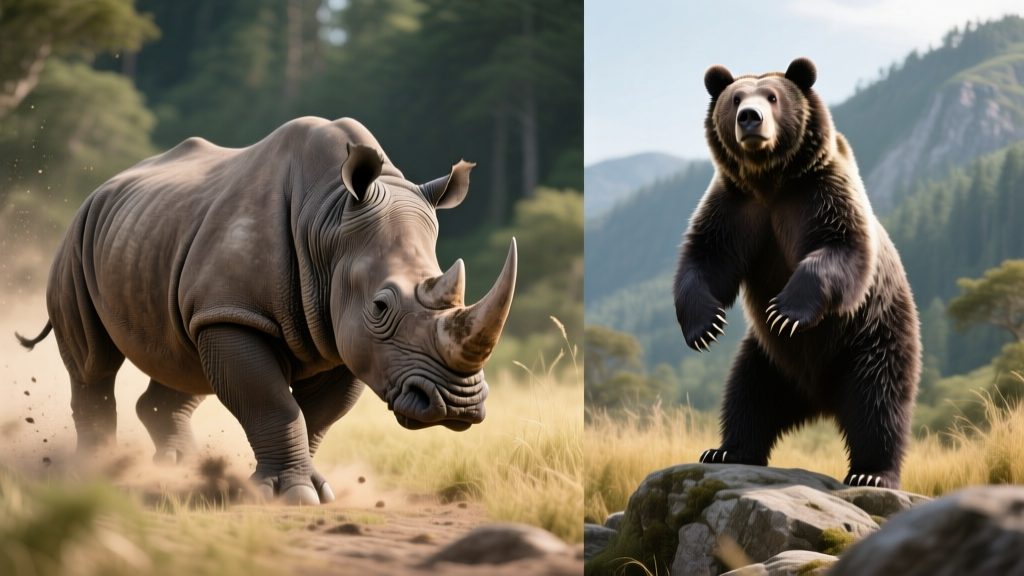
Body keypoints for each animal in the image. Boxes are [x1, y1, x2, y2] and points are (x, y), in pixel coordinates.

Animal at [16, 117, 517, 505]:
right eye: (380, 306)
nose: (458, 404)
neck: (328, 219)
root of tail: (101, 189)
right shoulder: (238, 310)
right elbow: (272, 402)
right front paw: (293, 495)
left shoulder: (344, 337)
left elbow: (317, 415)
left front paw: (313, 489)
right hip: (78, 240)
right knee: (94, 365)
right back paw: (94, 472)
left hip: (158, 242)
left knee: (184, 359)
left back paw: (179, 469)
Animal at [673, 58, 921, 489]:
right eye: (735, 98)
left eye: (773, 97)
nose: (750, 118)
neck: (770, 180)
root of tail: (818, 398)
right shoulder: (736, 206)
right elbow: (706, 257)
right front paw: (705, 326)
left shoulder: (821, 194)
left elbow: (840, 248)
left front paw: (786, 312)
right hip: (769, 357)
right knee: (748, 395)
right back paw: (726, 449)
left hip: (870, 337)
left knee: (878, 400)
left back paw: (872, 473)